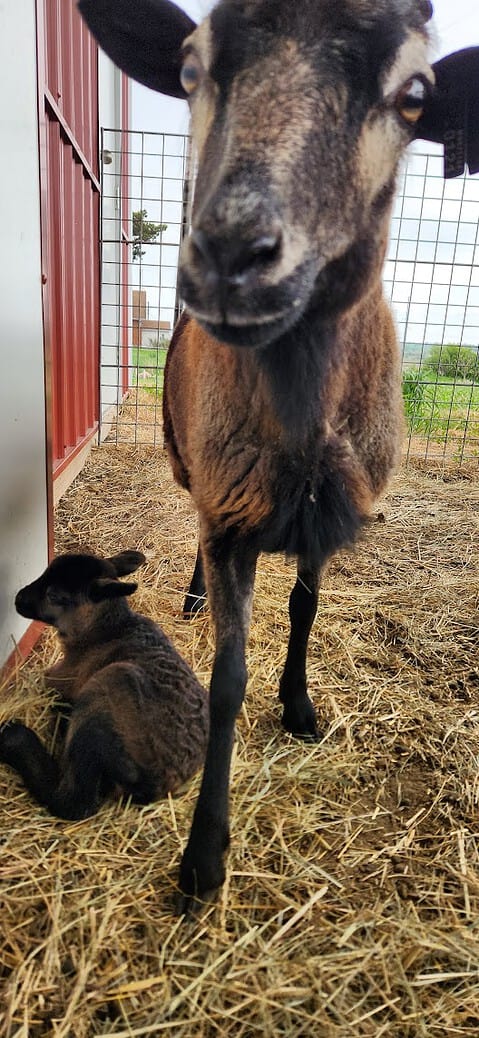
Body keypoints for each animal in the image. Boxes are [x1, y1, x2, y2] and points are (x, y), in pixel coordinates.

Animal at [0, 551, 209, 819]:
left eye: (54, 595)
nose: (18, 599)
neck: (103, 631)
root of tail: (153, 786)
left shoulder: (63, 679)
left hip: (104, 694)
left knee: (75, 801)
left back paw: (14, 736)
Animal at [78, 0, 479, 909]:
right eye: (190, 69)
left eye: (414, 95)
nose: (231, 255)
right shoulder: (231, 512)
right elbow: (227, 678)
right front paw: (202, 855)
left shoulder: (329, 514)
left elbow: (303, 610)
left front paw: (298, 708)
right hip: (189, 458)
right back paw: (193, 598)